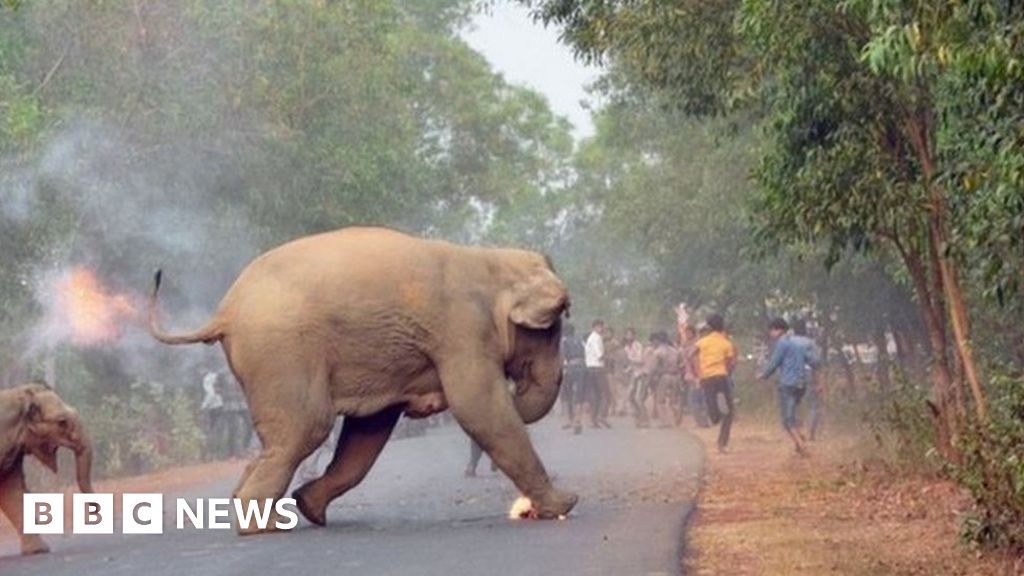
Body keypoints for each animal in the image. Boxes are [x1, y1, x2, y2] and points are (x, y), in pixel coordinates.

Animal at [148, 226, 577, 532]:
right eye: (553, 328)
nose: (518, 390)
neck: (491, 259)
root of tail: (226, 310)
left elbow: (369, 430)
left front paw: (310, 505)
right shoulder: (462, 331)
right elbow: (480, 408)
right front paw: (564, 505)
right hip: (282, 351)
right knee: (307, 428)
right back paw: (262, 527)